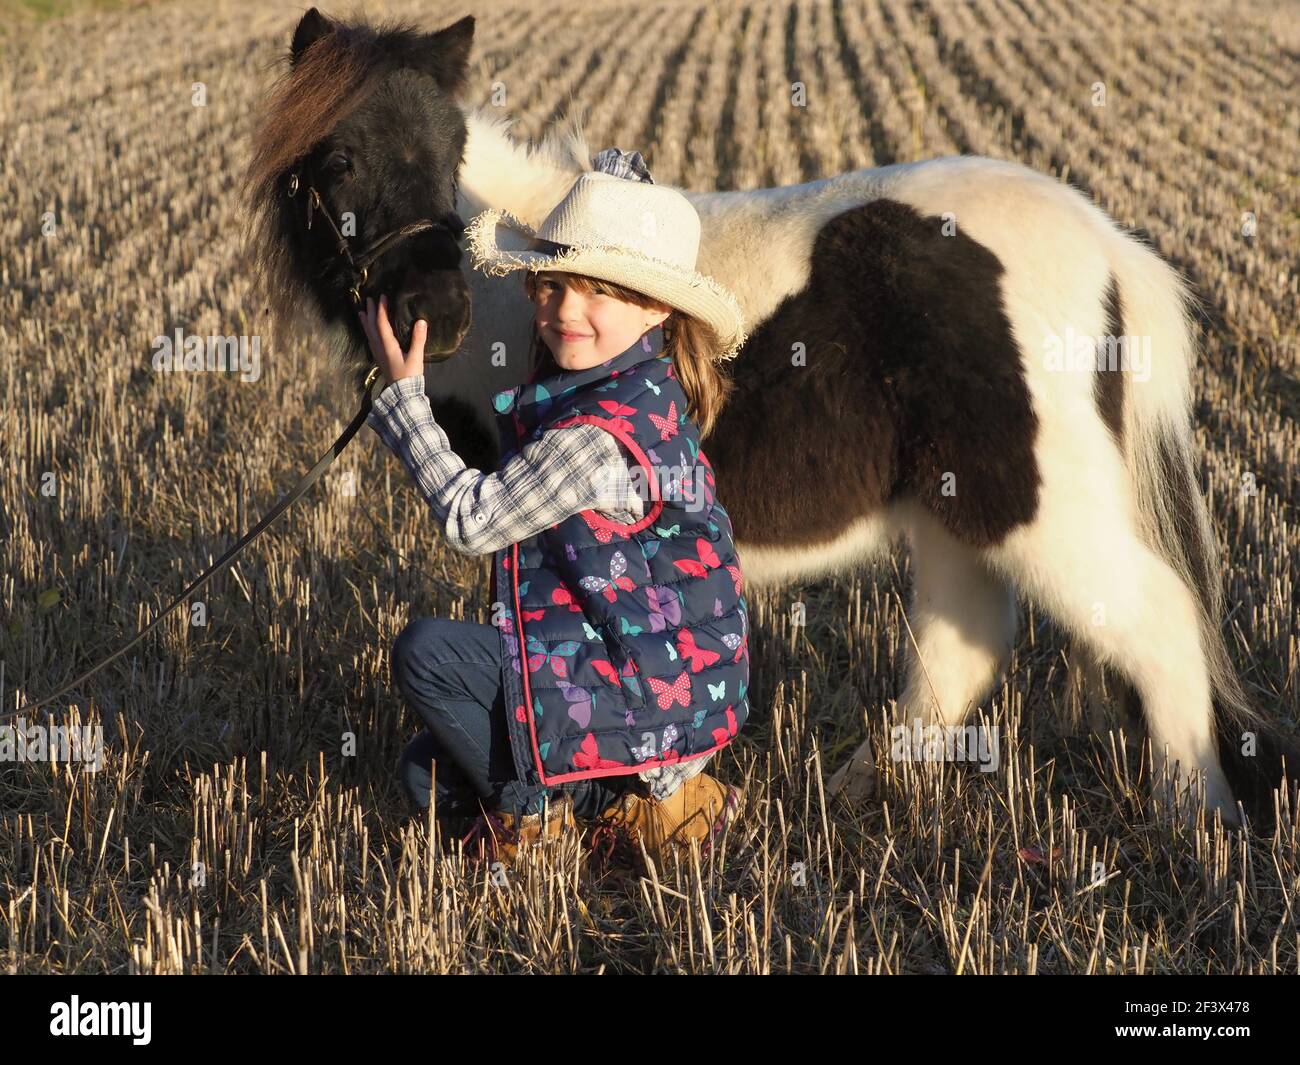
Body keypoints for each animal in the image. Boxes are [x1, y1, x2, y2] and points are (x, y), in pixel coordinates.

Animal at [245, 9, 1296, 830]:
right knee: (962, 641)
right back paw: (864, 792)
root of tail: (1112, 248)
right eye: (338, 158)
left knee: (1154, 624)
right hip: (955, 502)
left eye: (451, 156)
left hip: (1035, 503)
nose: (436, 310)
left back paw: (1197, 824)